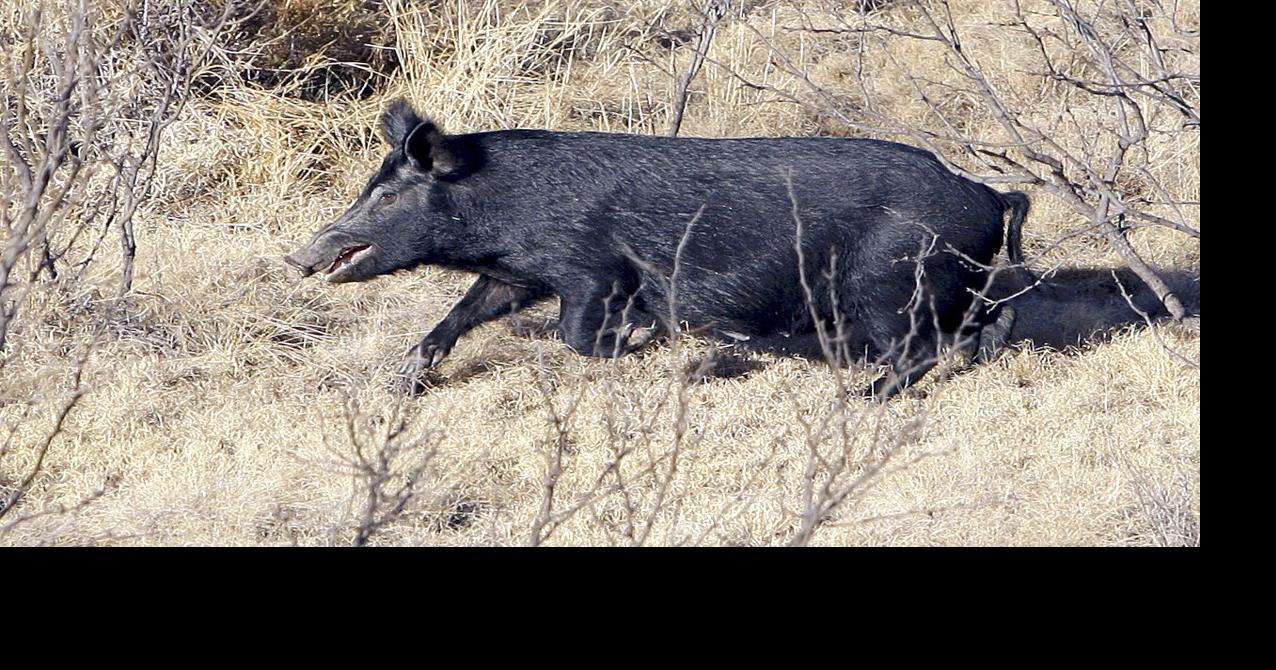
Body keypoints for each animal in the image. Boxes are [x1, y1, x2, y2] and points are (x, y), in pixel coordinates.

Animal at [285, 100, 1030, 399]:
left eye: (386, 194)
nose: (301, 256)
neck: (503, 208)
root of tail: (988, 194)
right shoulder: (520, 274)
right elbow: (465, 311)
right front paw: (404, 382)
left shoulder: (591, 269)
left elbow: (576, 334)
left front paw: (649, 338)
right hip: (951, 280)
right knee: (990, 319)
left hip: (886, 280)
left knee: (918, 348)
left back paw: (856, 399)